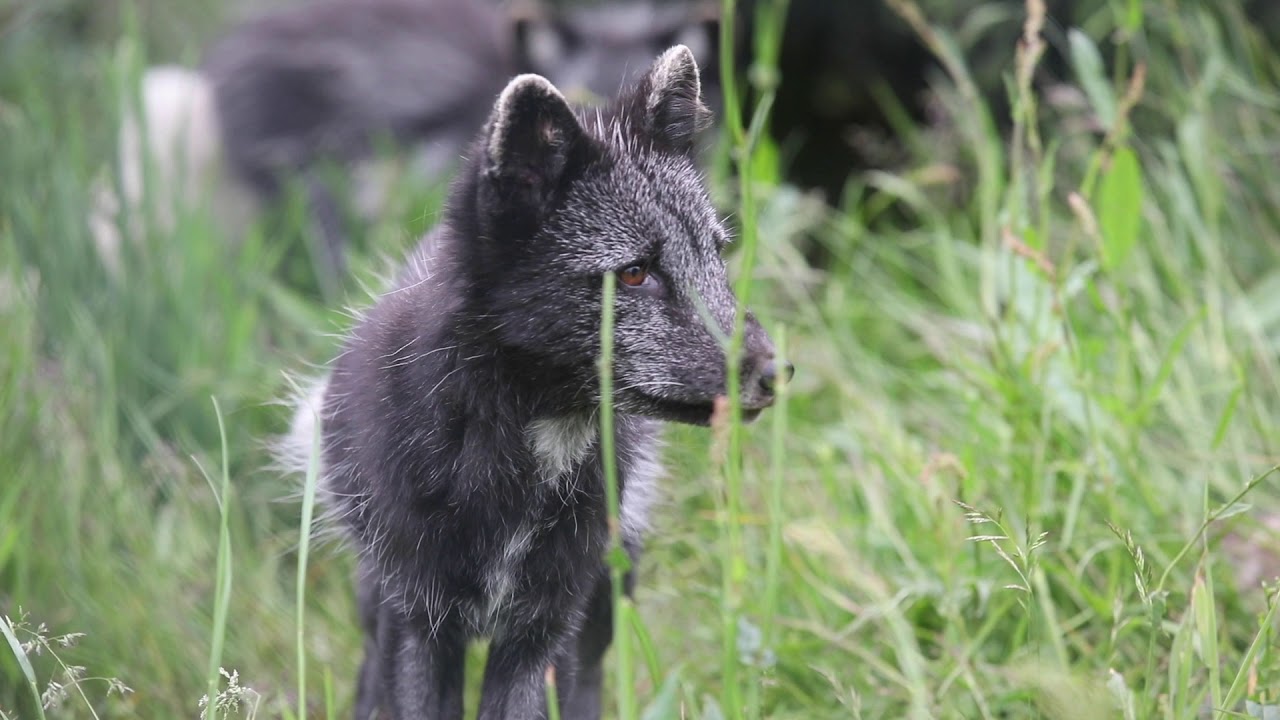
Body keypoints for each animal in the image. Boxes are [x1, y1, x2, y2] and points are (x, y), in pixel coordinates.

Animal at [280, 45, 788, 719]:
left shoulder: (545, 627)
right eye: (634, 274)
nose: (773, 373)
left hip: (607, 590)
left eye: (717, 254)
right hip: (378, 600)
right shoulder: (417, 618)